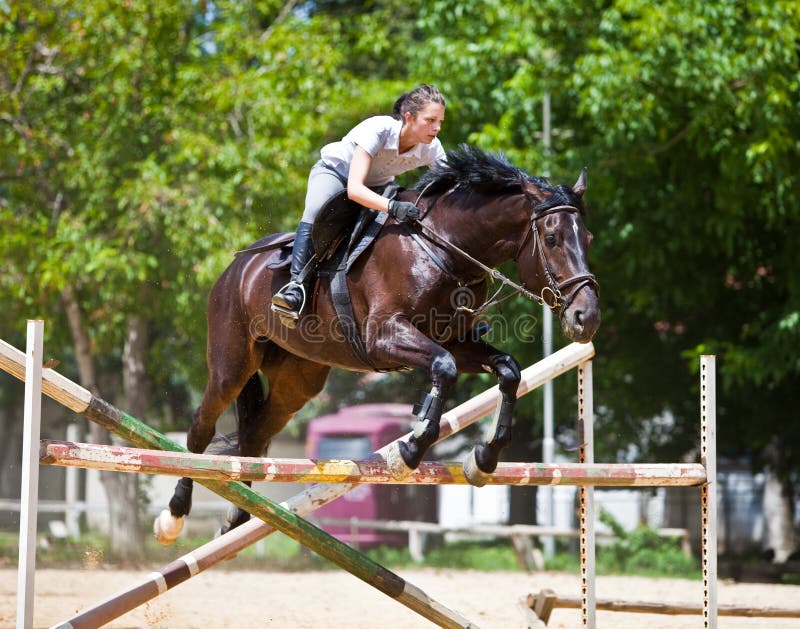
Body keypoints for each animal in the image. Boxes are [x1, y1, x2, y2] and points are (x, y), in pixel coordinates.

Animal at [154, 146, 600, 544]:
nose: (587, 317)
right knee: (199, 431)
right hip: (231, 365)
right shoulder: (385, 335)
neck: (443, 248)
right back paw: (173, 517)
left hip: (297, 381)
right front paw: (411, 448)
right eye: (553, 238)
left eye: (589, 238)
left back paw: (236, 517)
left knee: (254, 437)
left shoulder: (456, 341)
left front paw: (485, 457)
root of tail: (236, 267)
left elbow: (507, 370)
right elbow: (443, 369)